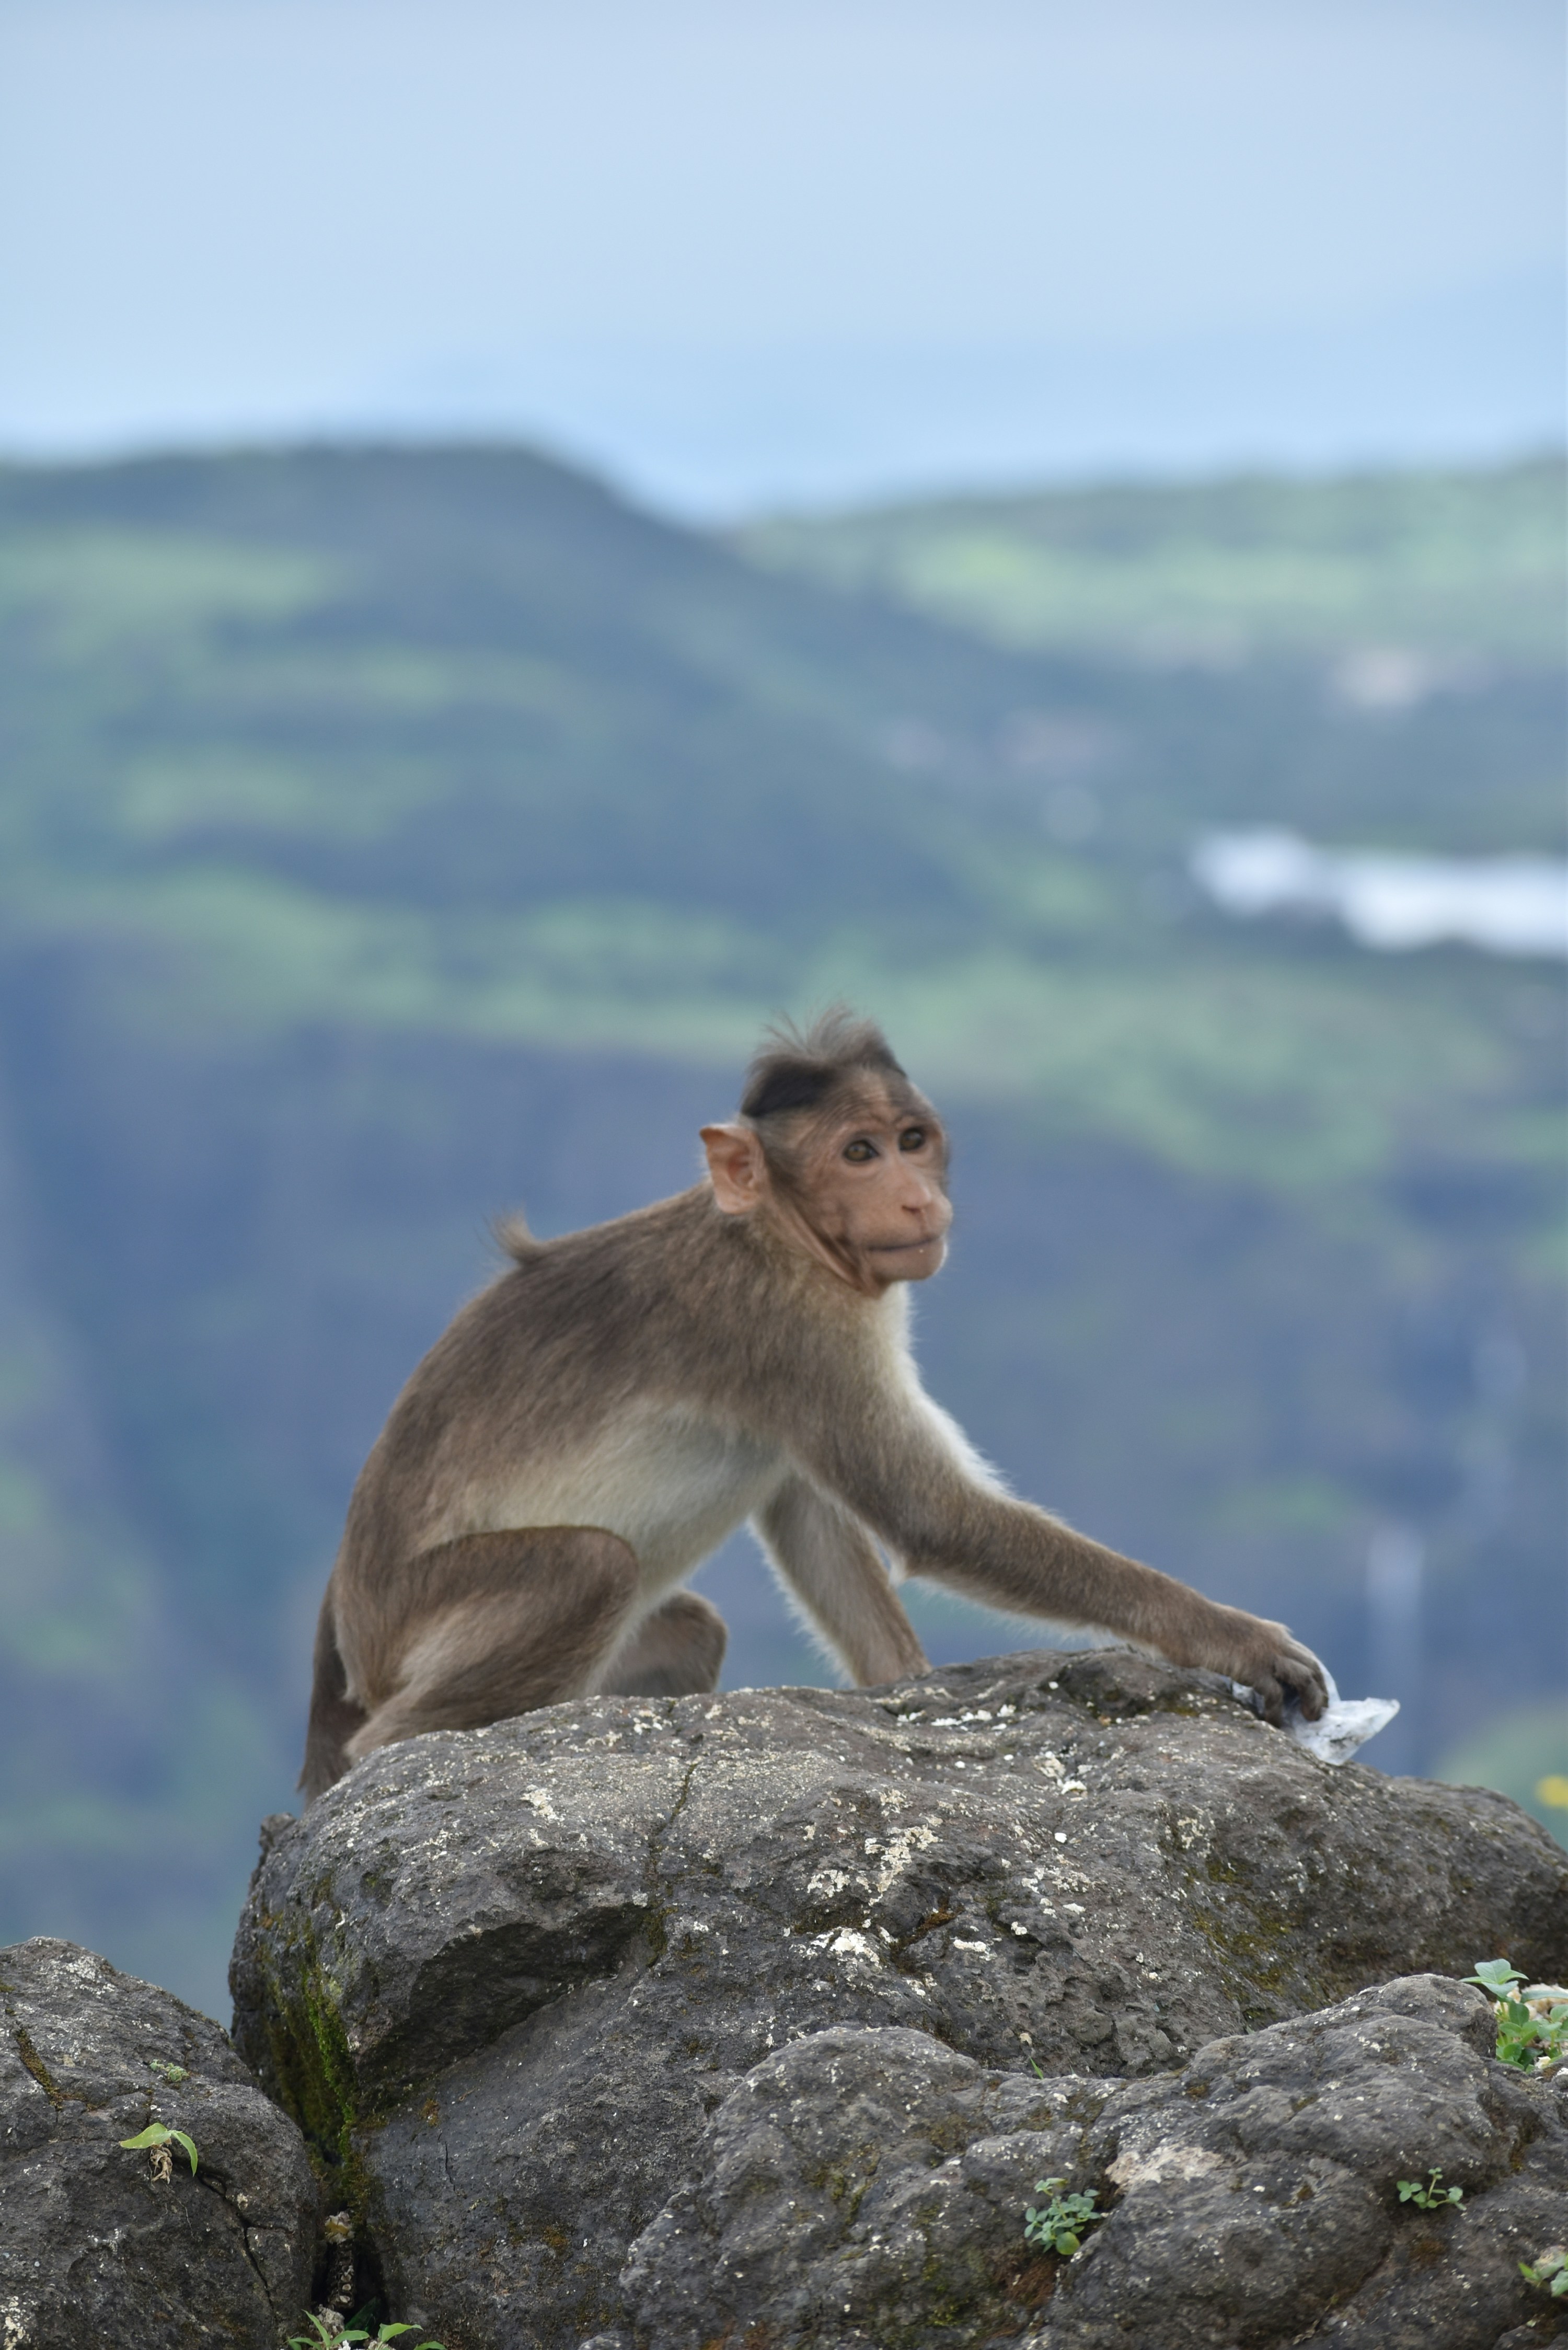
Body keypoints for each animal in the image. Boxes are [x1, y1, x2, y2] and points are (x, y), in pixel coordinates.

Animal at [301, 1009, 1327, 1799]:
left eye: (912, 1142)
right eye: (858, 1153)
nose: (915, 1201)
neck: (781, 1233)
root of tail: (342, 1651)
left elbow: (811, 1516)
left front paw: (907, 1687)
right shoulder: (796, 1327)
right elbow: (931, 1514)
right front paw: (1233, 1638)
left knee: (690, 1627)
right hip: (415, 1623)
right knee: (592, 1567)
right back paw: (395, 1754)